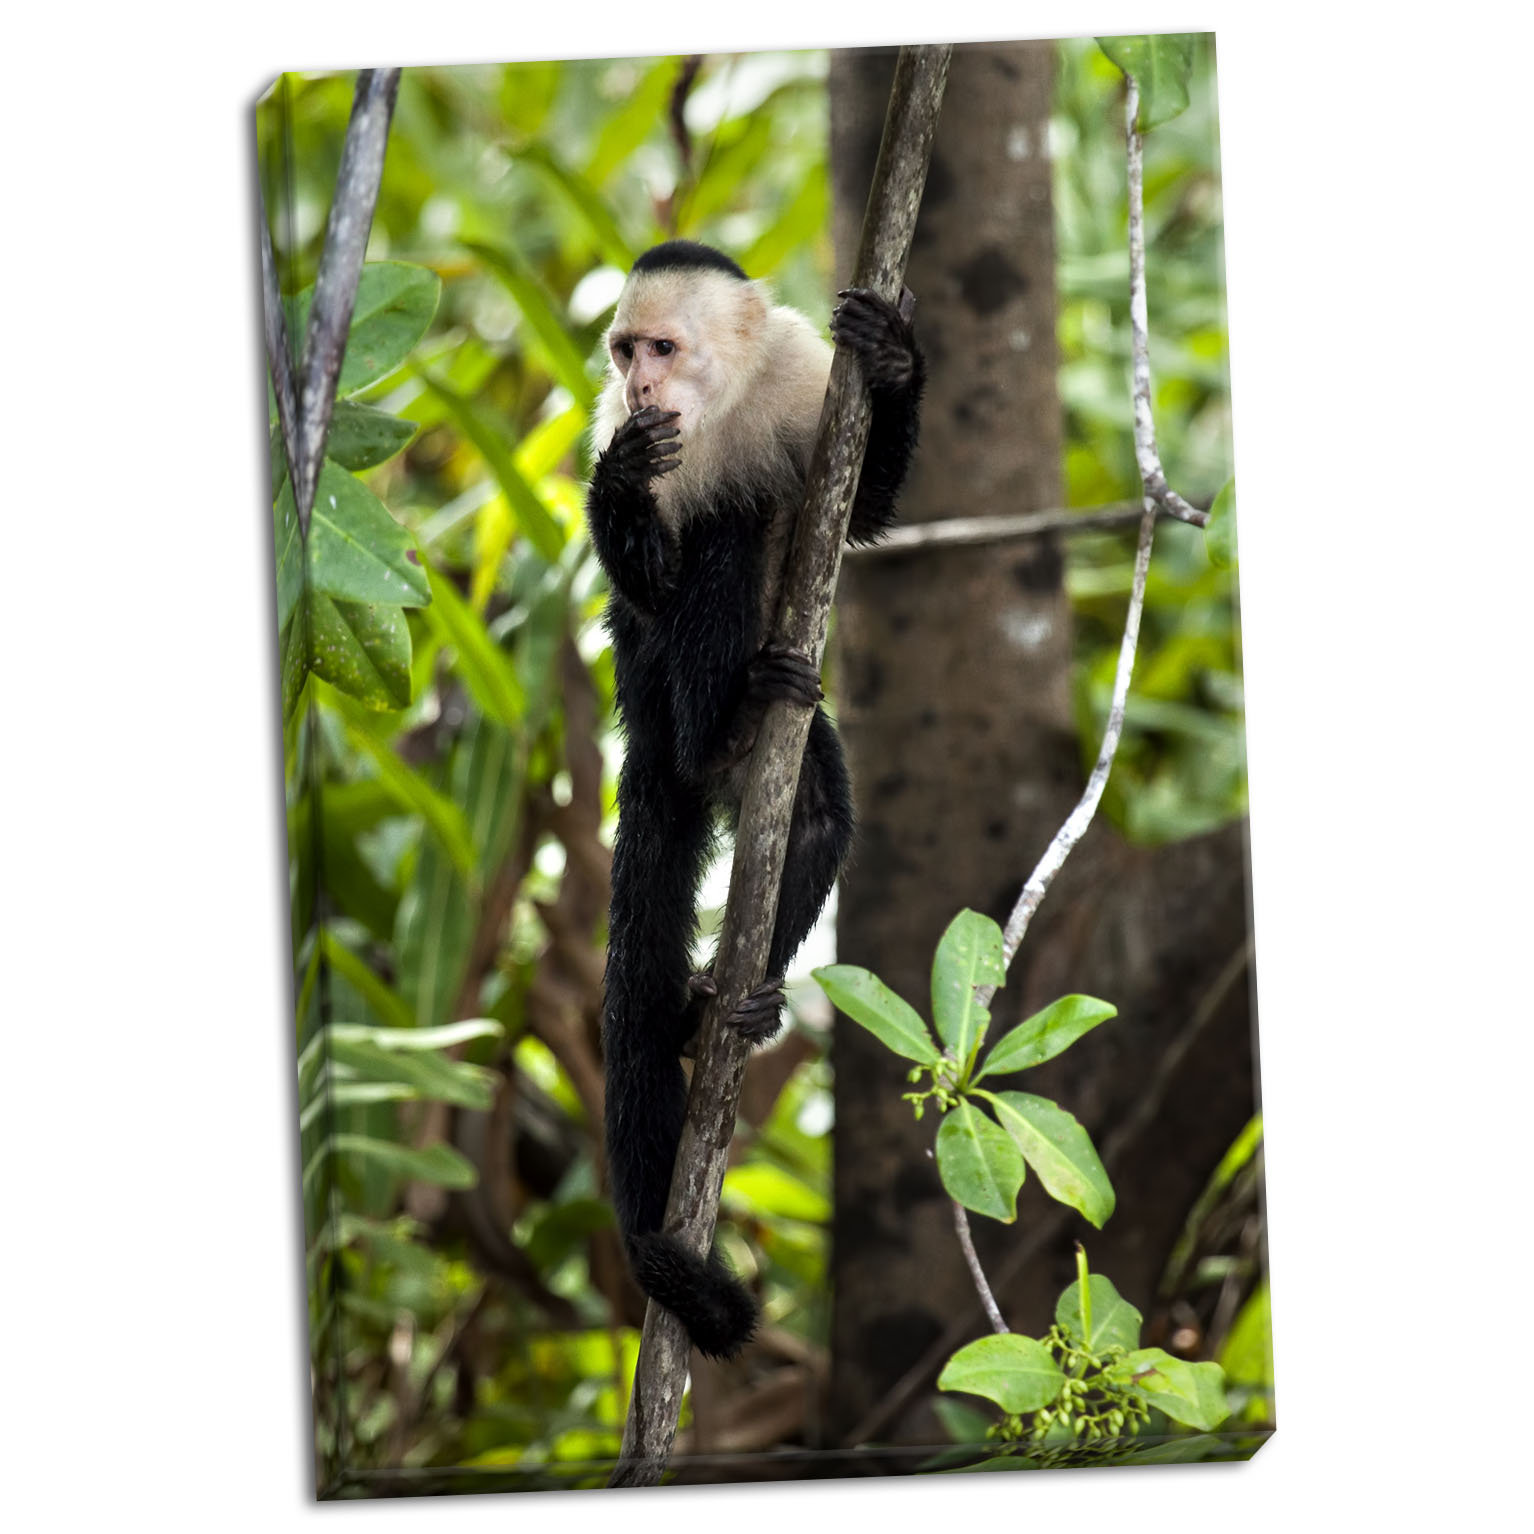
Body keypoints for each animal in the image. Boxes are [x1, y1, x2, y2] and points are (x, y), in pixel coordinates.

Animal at [585, 240, 924, 1359]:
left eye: (660, 347)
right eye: (624, 353)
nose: (640, 387)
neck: (720, 404)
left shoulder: (803, 380)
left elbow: (861, 517)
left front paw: (897, 360)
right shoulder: (624, 430)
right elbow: (650, 580)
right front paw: (618, 487)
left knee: (817, 817)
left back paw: (727, 1006)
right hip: (654, 694)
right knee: (720, 538)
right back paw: (720, 728)